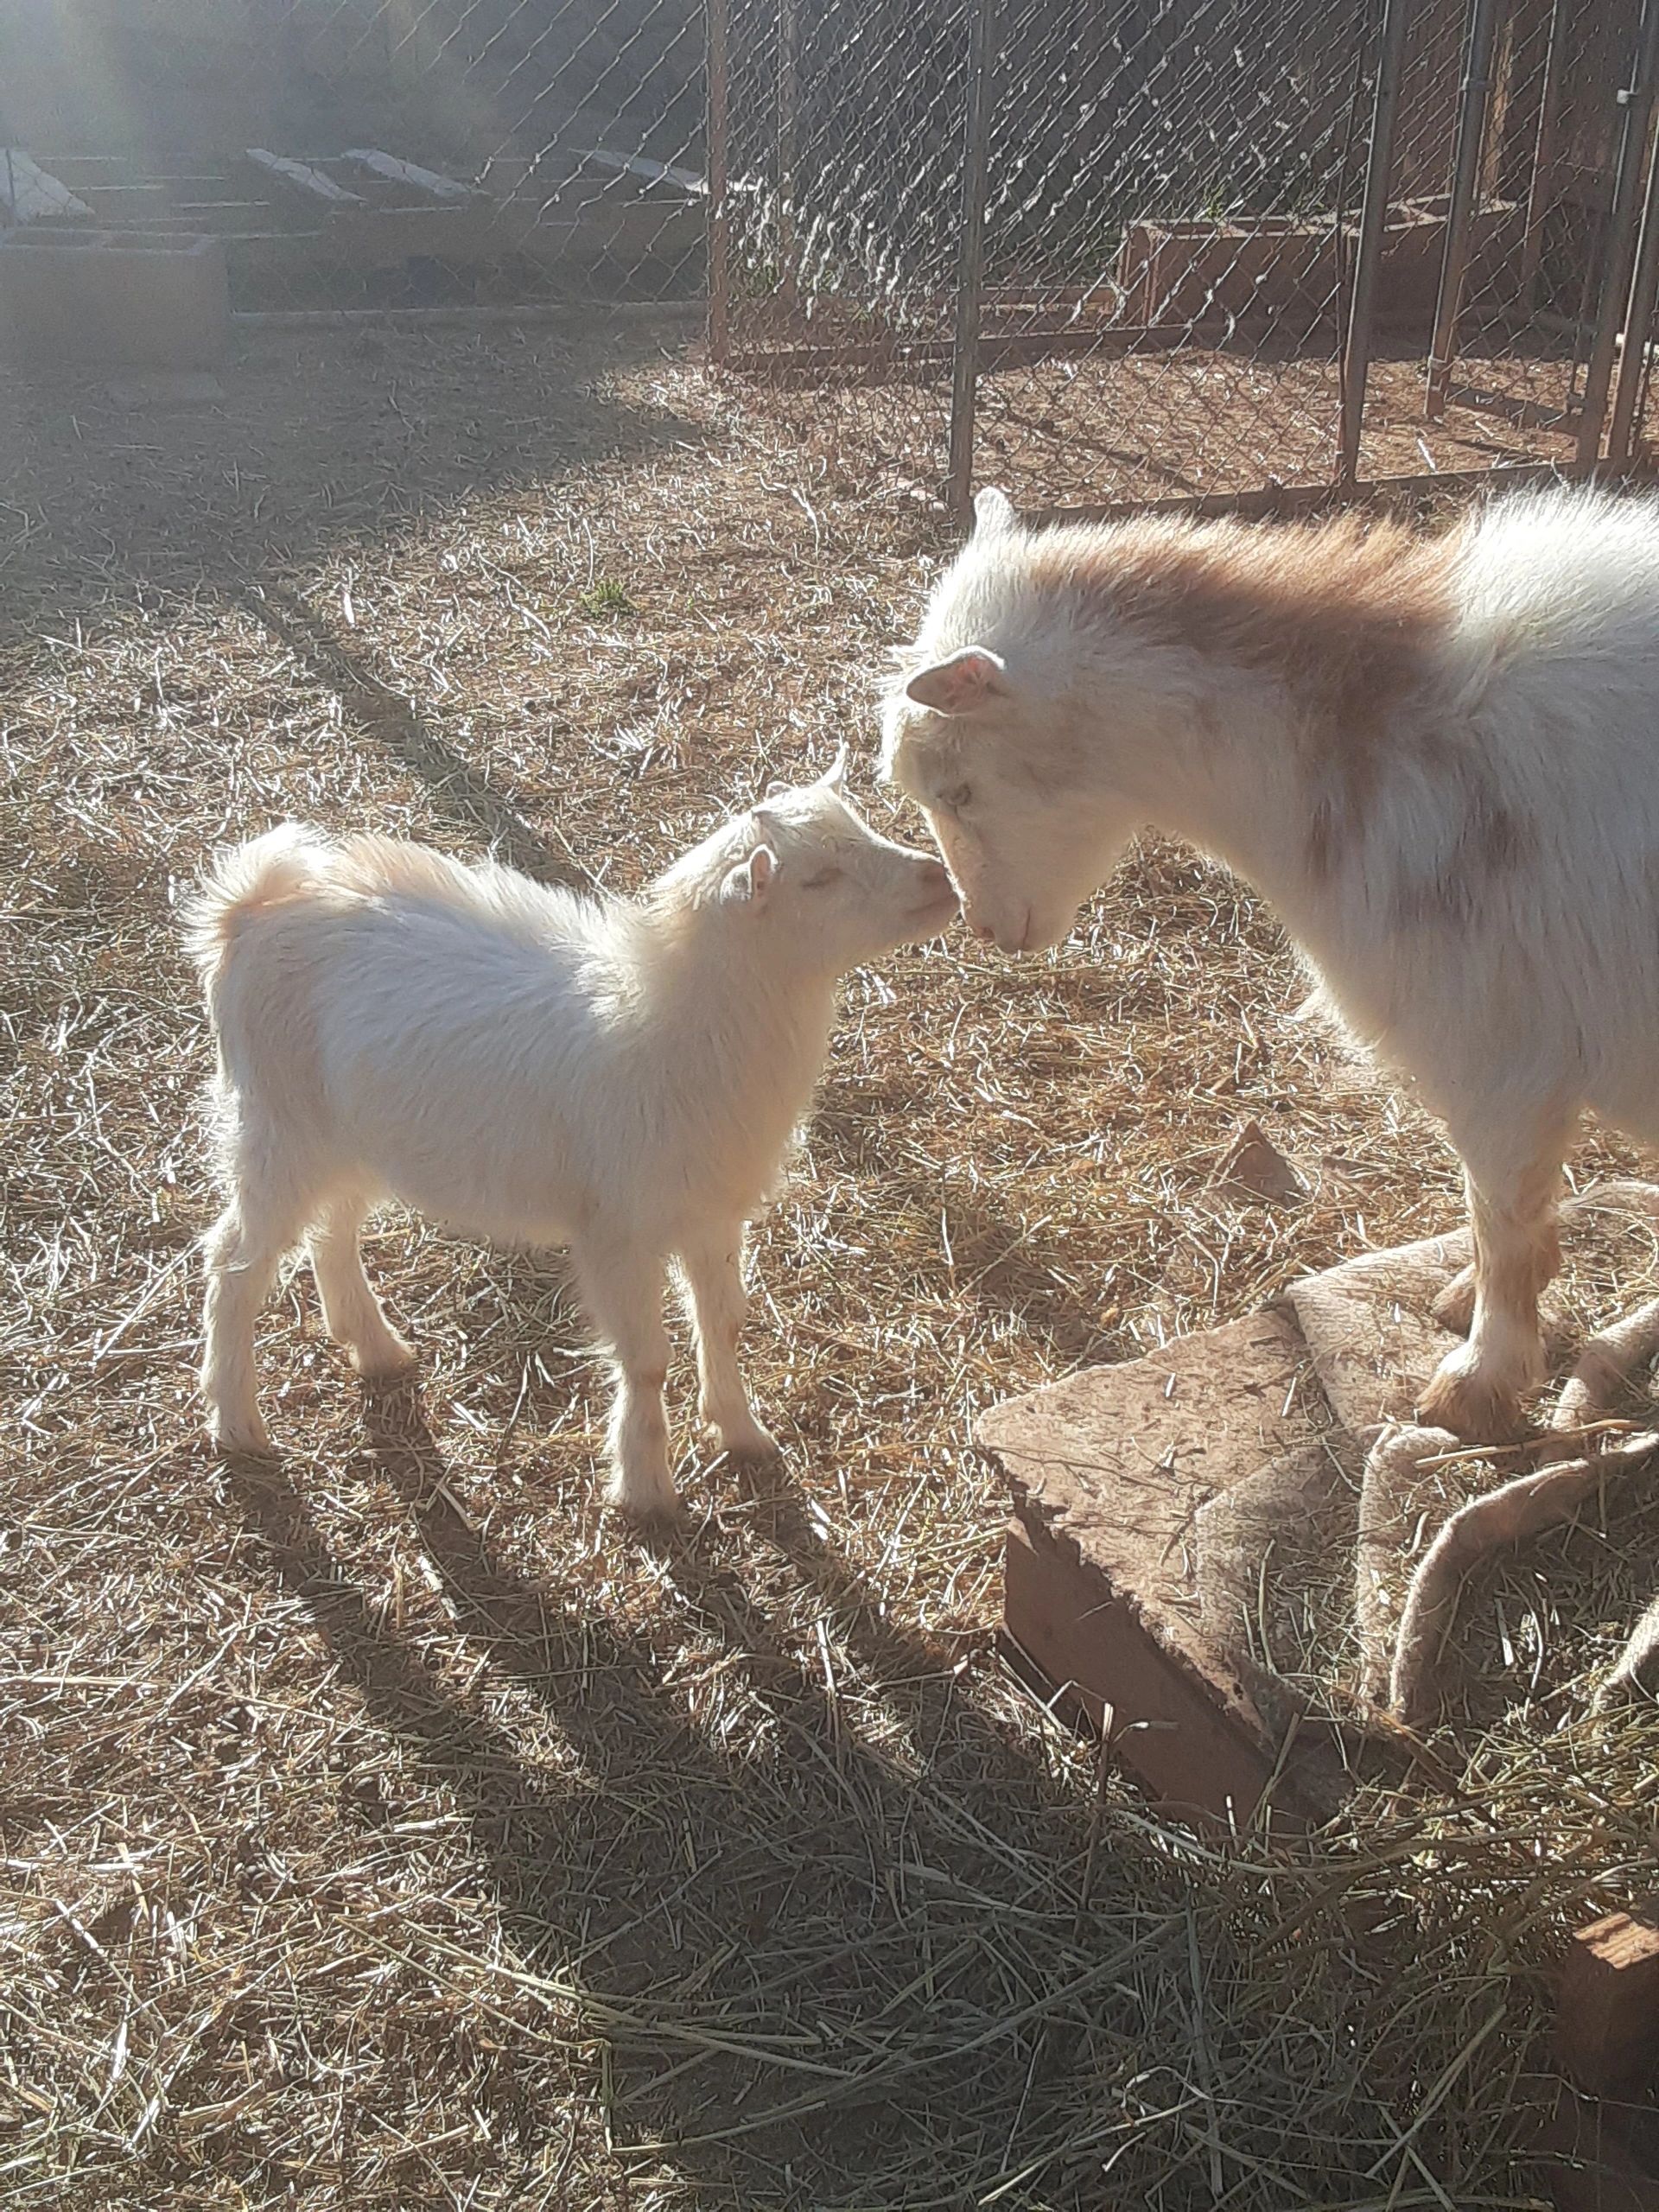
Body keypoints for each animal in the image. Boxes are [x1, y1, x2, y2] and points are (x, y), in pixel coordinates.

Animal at [189, 763, 957, 1514]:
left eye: (860, 828)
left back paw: (375, 1347)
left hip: (348, 1136)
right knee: (234, 1260)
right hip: (278, 1126)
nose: (939, 878)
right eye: (819, 878)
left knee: (332, 1227)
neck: (677, 1030)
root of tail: (248, 908)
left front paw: (742, 1432)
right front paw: (646, 1489)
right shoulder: (616, 1232)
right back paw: (236, 1421)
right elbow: (646, 1361)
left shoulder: (711, 1213)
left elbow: (725, 1322)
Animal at [881, 481, 1659, 1443]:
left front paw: (1478, 1382)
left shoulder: (1500, 1052)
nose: (989, 929)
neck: (1378, 729)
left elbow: (1504, 1227)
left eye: (958, 789)